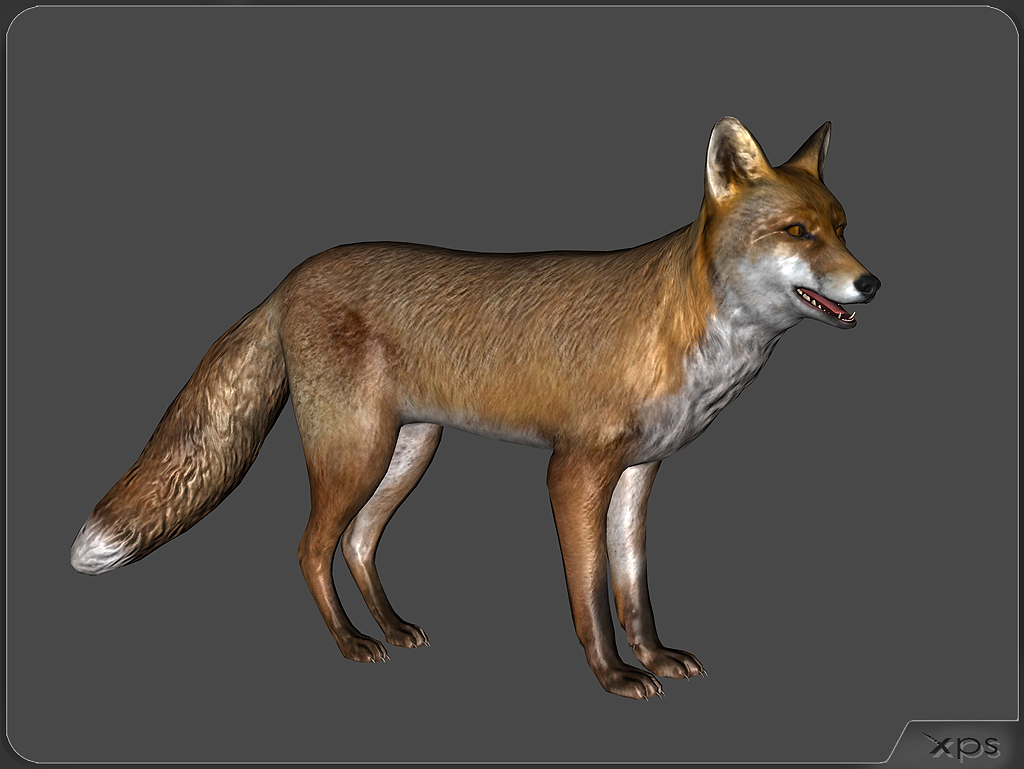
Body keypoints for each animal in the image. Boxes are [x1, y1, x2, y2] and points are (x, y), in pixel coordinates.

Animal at [71, 117, 880, 700]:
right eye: (797, 232)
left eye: (842, 226)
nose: (871, 283)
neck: (690, 335)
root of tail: (289, 277)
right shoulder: (574, 470)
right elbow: (591, 591)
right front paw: (614, 676)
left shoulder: (638, 474)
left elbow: (633, 586)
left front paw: (653, 655)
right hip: (356, 454)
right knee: (309, 548)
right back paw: (351, 644)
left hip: (408, 451)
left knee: (358, 542)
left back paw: (393, 628)